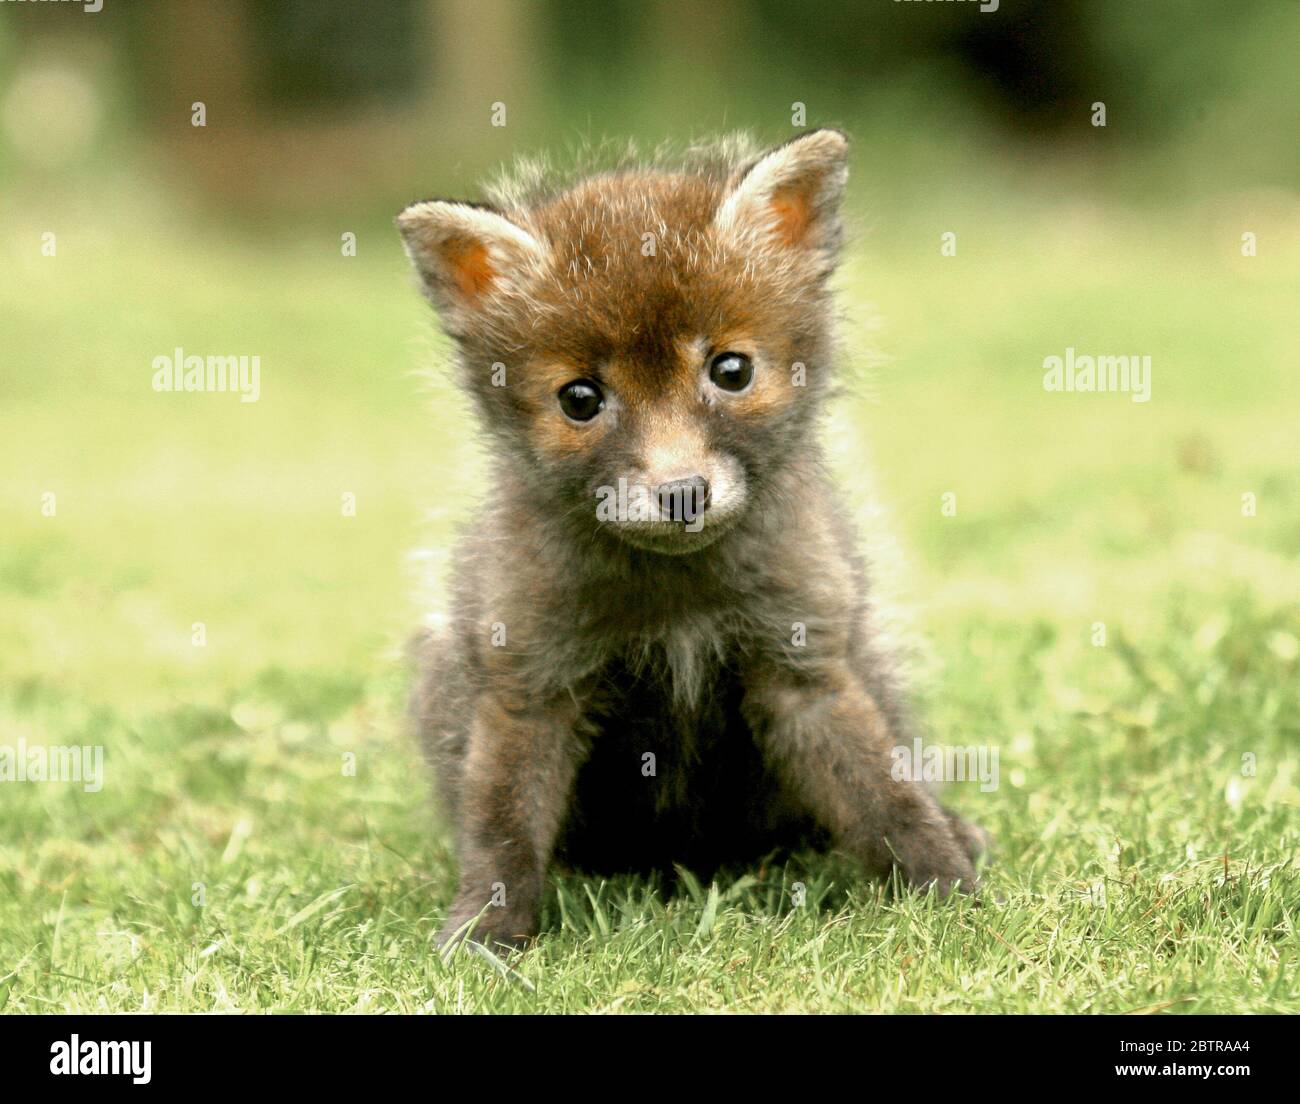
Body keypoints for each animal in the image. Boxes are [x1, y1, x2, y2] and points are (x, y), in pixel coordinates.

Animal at [398, 129, 988, 950]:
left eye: (730, 370)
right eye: (580, 398)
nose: (682, 493)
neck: (677, 601)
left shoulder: (802, 666)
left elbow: (884, 794)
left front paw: (947, 887)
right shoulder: (531, 682)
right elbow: (502, 827)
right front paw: (485, 932)